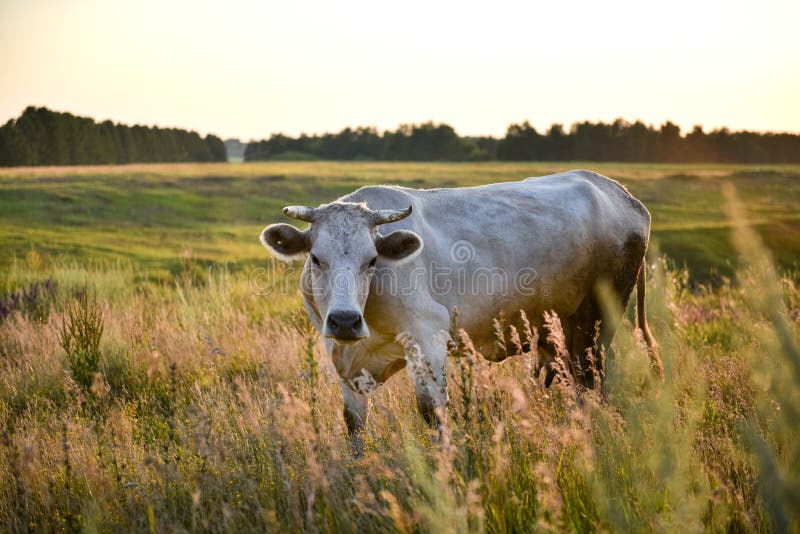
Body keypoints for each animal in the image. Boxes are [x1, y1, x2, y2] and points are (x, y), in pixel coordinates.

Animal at [260, 170, 661, 451]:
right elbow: (354, 420)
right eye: (316, 258)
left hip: (596, 321)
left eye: (372, 260)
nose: (345, 320)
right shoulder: (342, 356)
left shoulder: (428, 336)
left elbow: (433, 411)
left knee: (590, 383)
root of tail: (622, 195)